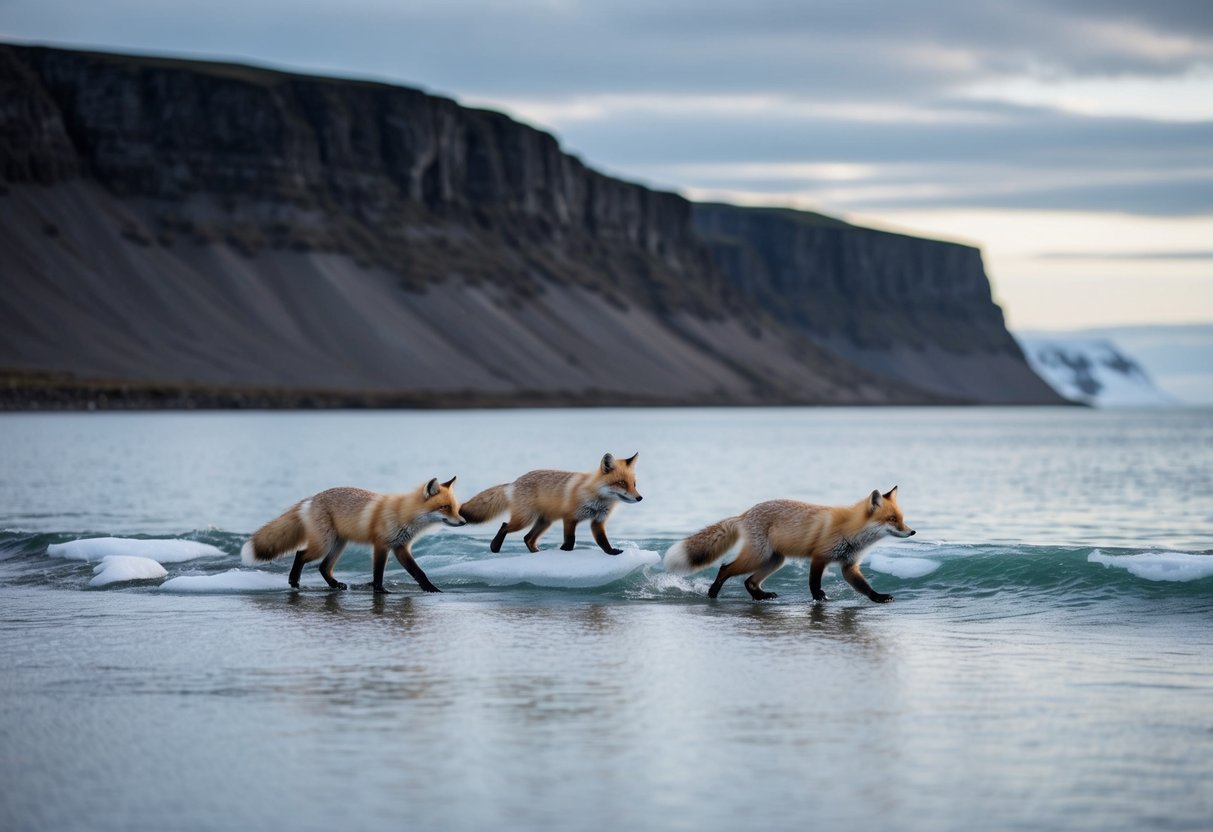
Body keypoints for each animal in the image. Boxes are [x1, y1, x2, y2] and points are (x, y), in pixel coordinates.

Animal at [240, 477, 466, 593]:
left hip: (339, 545)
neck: (403, 514)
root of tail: (312, 498)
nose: (463, 522)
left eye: (455, 508)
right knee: (301, 554)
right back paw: (294, 581)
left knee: (323, 567)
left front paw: (431, 588)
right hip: (324, 544)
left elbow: (418, 572)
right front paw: (379, 590)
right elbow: (378, 573)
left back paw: (334, 585)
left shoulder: (400, 547)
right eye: (445, 507)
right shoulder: (381, 545)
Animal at [459, 453, 642, 555]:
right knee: (505, 526)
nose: (639, 498)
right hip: (524, 520)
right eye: (621, 483)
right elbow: (570, 539)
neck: (596, 498)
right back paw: (495, 547)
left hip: (545, 522)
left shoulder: (597, 521)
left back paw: (536, 553)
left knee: (527, 539)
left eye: (634, 484)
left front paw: (611, 552)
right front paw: (565, 550)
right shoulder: (570, 517)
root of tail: (514, 482)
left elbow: (603, 541)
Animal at [663, 486, 915, 602]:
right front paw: (818, 599)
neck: (851, 530)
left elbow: (865, 587)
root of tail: (745, 514)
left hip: (776, 560)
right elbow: (813, 582)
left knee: (748, 581)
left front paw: (879, 597)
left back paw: (760, 597)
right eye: (892, 520)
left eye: (902, 518)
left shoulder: (848, 566)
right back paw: (713, 593)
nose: (912, 531)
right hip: (758, 557)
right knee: (725, 568)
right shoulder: (819, 556)